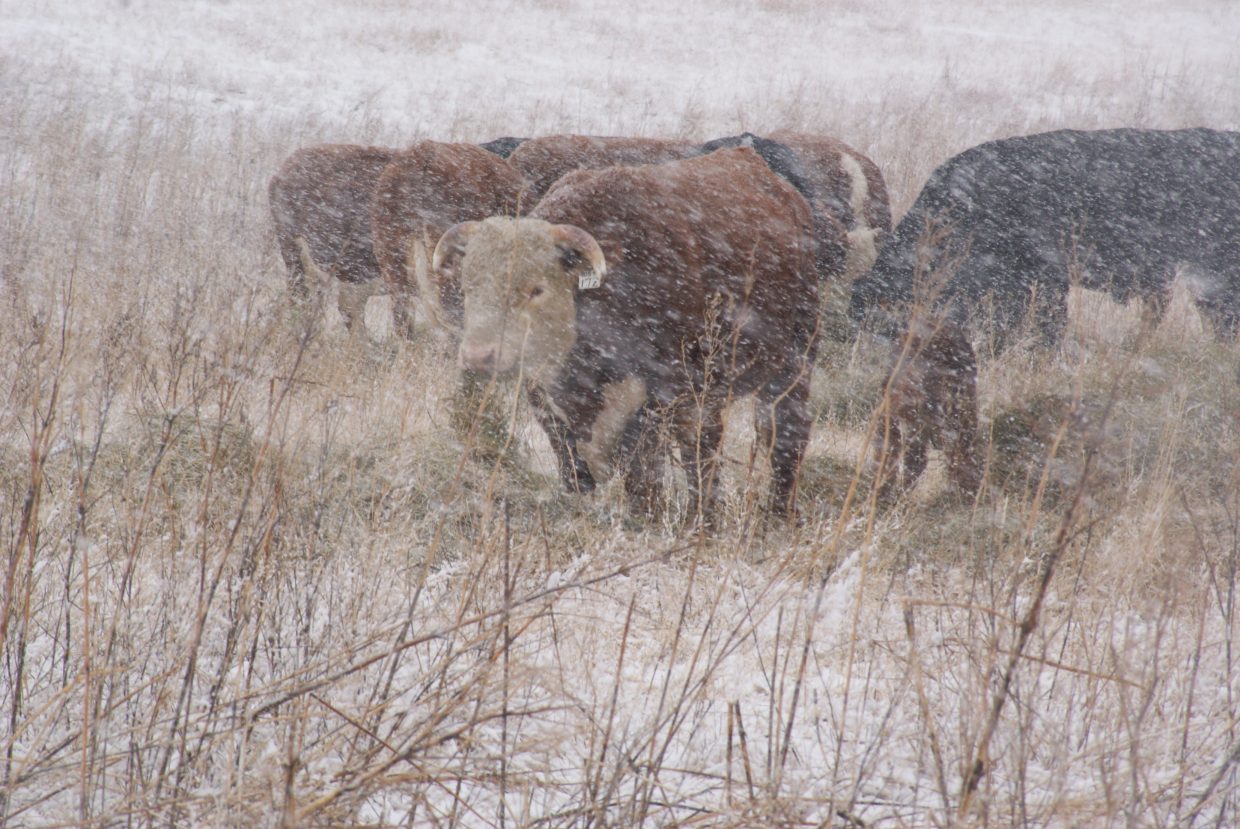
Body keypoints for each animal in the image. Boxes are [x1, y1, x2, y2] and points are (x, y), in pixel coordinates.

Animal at [428, 147, 820, 522]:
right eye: (468, 286)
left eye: (536, 289)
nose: (479, 356)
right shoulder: (547, 406)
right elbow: (575, 472)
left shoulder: (660, 403)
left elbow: (646, 479)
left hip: (794, 364)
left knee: (780, 433)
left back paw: (776, 514)